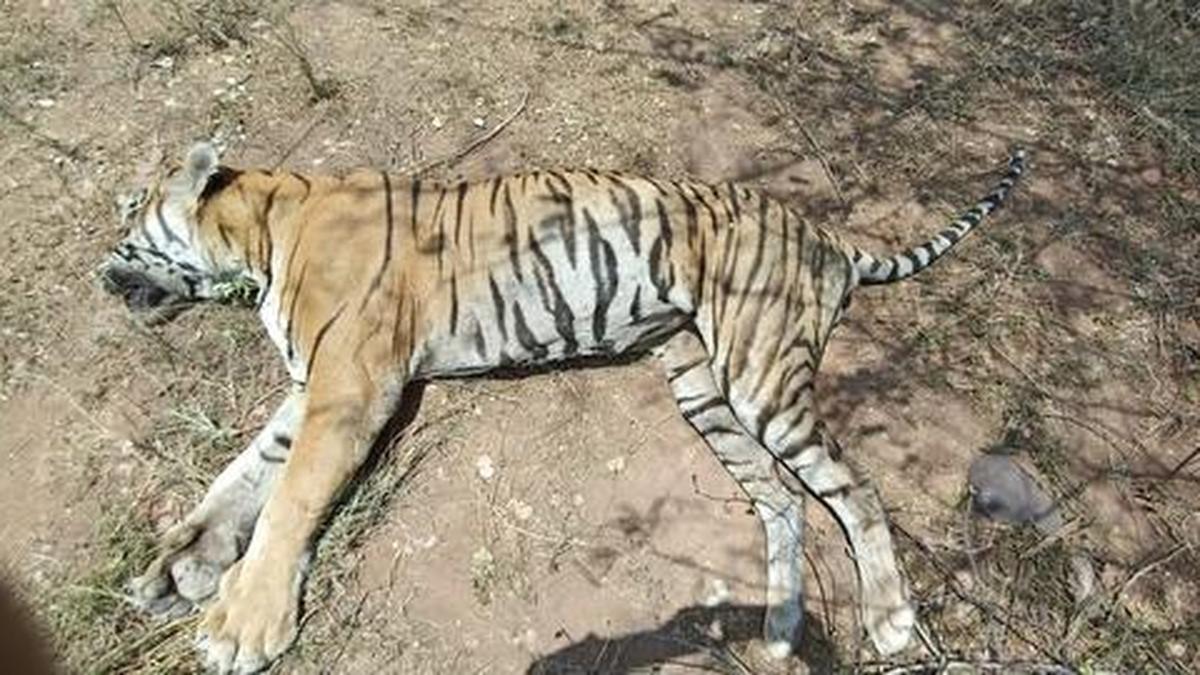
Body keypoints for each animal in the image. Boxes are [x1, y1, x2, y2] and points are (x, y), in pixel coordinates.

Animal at [100, 141, 1025, 673]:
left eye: (129, 219)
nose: (101, 275)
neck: (263, 229)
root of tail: (825, 235)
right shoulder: (318, 384)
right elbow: (246, 474)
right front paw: (181, 565)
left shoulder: (349, 385)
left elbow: (291, 495)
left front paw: (242, 623)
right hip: (702, 385)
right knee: (782, 497)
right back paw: (781, 628)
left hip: (761, 373)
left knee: (853, 489)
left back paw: (892, 624)